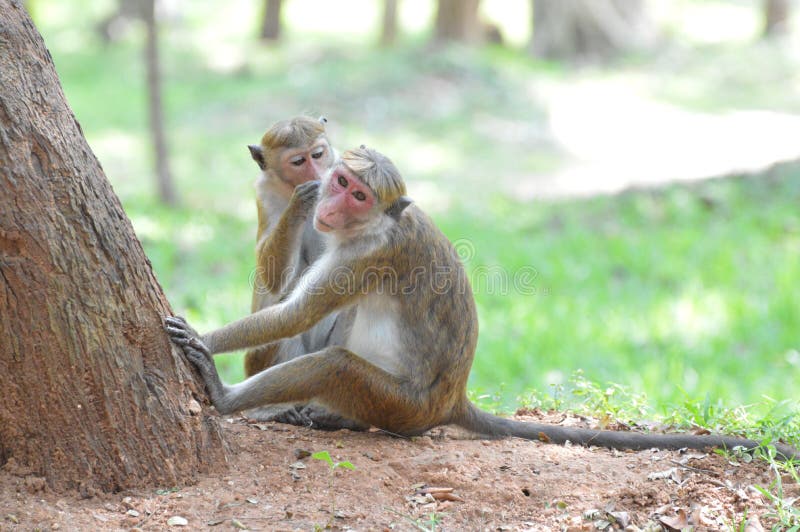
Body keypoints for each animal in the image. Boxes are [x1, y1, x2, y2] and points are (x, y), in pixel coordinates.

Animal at [166, 146, 798, 460]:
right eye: (342, 182)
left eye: (361, 194)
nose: (333, 203)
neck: (373, 225)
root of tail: (451, 402)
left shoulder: (368, 257)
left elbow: (297, 313)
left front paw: (204, 343)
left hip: (402, 405)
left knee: (338, 366)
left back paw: (231, 399)